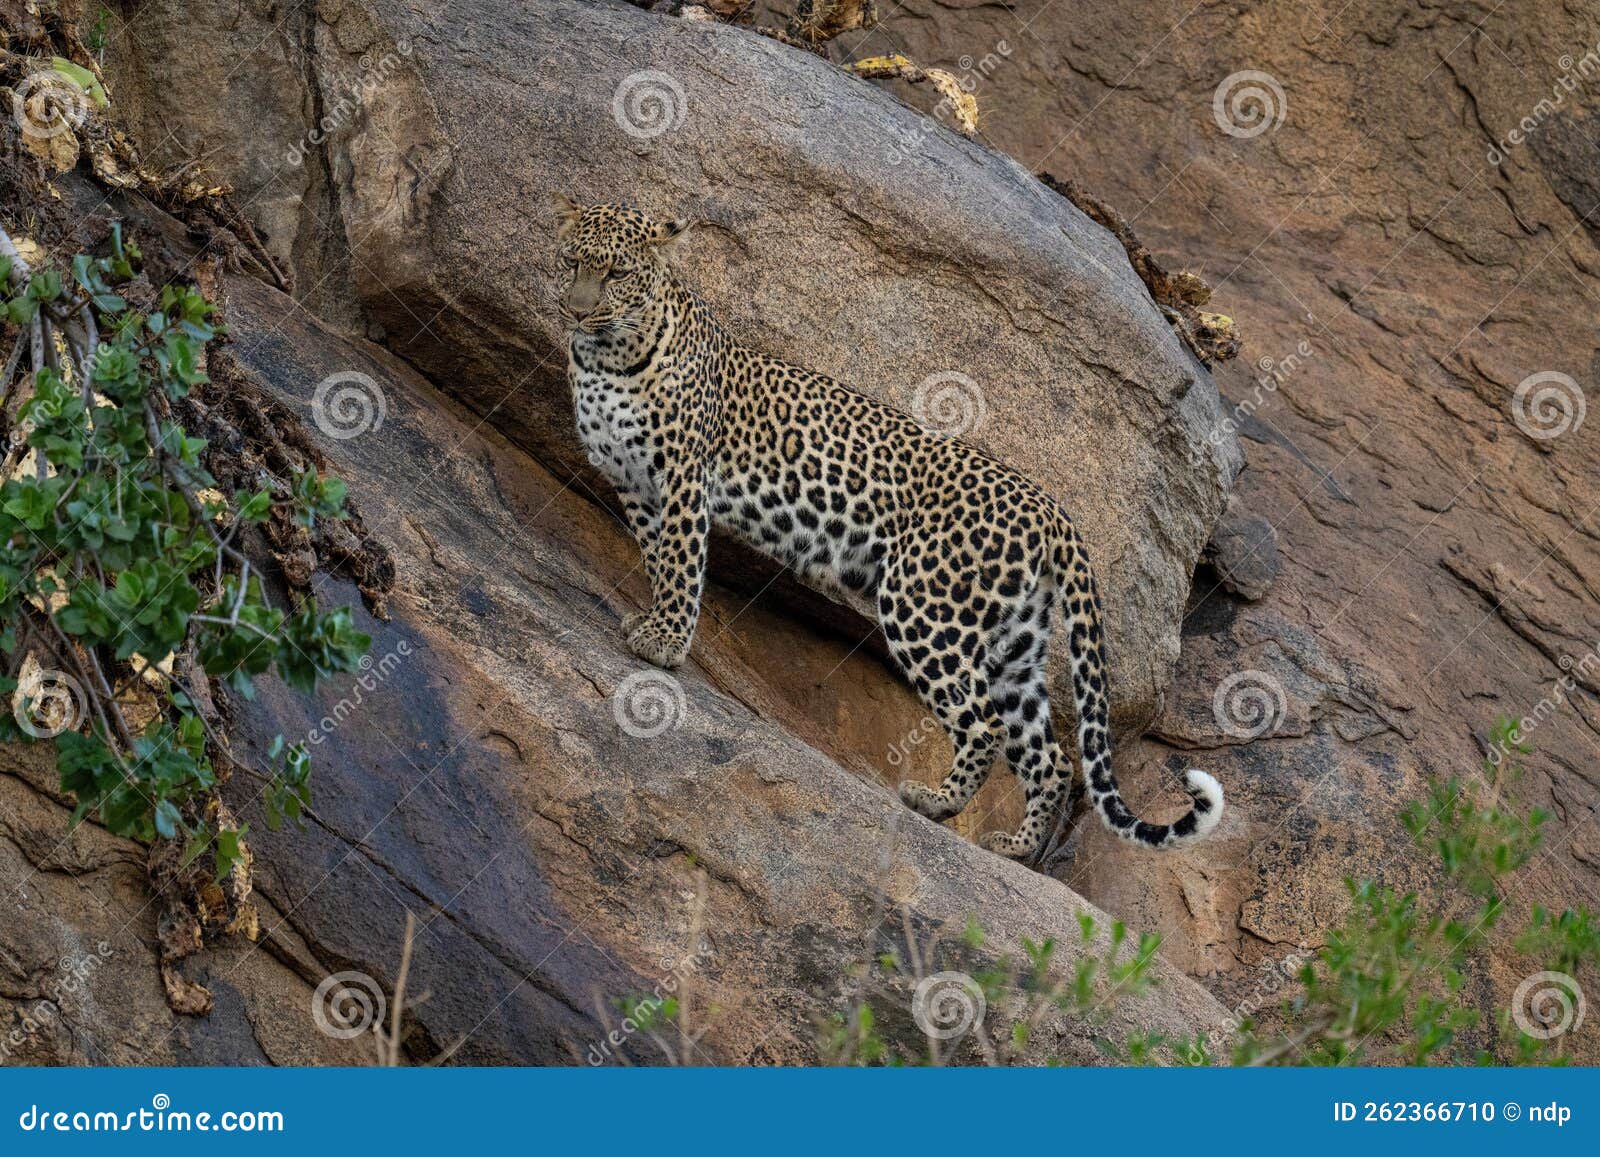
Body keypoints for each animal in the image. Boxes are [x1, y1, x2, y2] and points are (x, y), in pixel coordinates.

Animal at [554, 196, 1224, 859]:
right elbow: (656, 558)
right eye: (570, 262)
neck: (606, 359)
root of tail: (1052, 510)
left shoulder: (683, 480)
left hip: (922, 605)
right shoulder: (633, 485)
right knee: (1047, 754)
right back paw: (1014, 846)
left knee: (982, 721)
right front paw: (652, 622)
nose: (576, 311)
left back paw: (936, 802)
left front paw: (665, 645)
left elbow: (680, 564)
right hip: (1015, 644)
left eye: (617, 274)